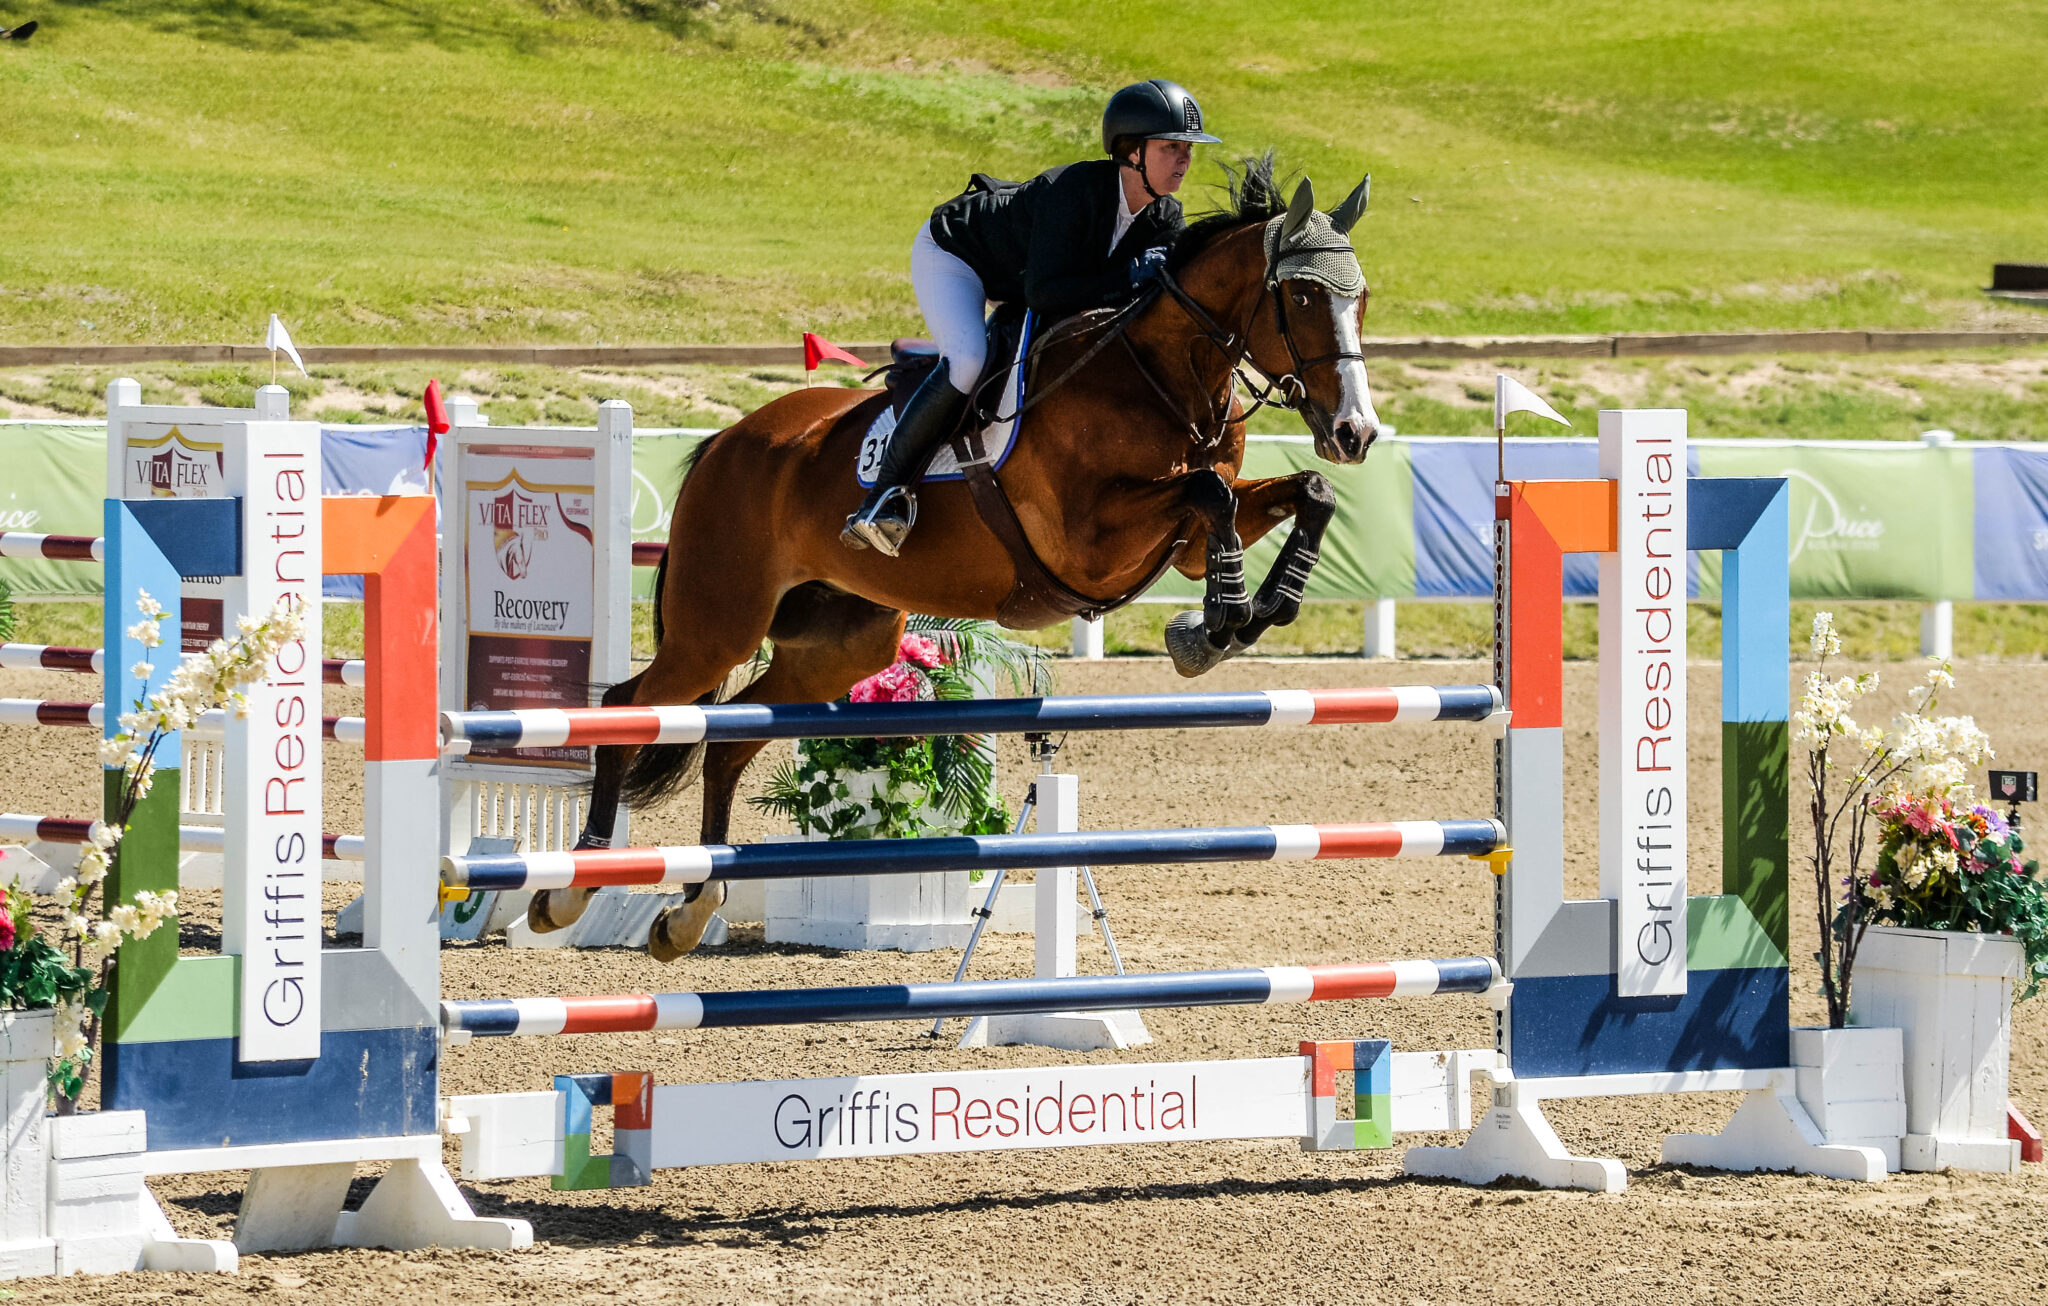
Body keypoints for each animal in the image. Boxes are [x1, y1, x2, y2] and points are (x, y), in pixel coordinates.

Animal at [530, 159, 1386, 959]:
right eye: (1301, 298)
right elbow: (1209, 492)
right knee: (627, 709)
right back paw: (571, 889)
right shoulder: (1091, 539)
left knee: (731, 740)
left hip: (842, 645)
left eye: (1362, 298)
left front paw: (1244, 616)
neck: (1163, 374)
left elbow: (1298, 495)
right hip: (718, 626)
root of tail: (729, 441)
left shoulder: (1180, 546)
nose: (1355, 432)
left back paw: (690, 909)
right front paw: (1221, 621)